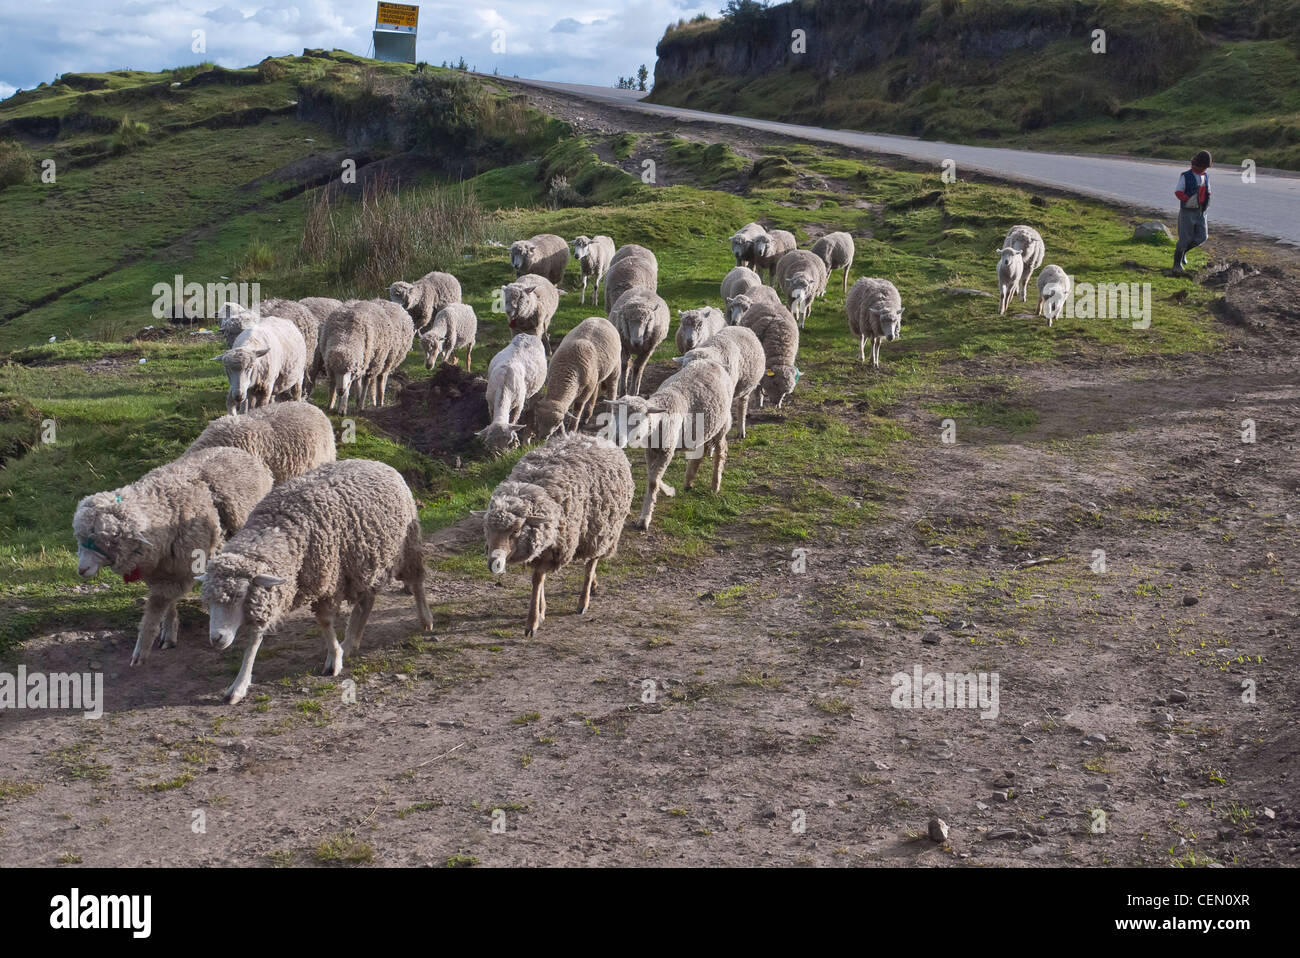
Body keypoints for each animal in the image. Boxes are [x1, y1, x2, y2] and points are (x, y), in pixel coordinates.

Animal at [74, 446, 274, 668]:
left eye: (110, 538)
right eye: (79, 538)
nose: (81, 570)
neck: (164, 509)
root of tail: (237, 450)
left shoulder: (180, 570)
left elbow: (156, 607)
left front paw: (141, 648)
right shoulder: (161, 572)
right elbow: (167, 603)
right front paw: (168, 632)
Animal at [199, 458, 433, 704]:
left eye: (239, 596)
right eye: (208, 602)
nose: (216, 638)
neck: (280, 526)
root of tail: (376, 462)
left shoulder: (329, 581)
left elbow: (325, 621)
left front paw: (334, 659)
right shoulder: (271, 594)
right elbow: (254, 641)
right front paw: (239, 685)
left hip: (406, 548)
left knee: (416, 582)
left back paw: (425, 620)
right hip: (365, 564)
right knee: (366, 602)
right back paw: (351, 641)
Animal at [477, 433, 634, 637]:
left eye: (516, 530)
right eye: (487, 529)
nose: (493, 562)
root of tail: (596, 438)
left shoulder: (553, 549)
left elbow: (537, 580)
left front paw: (532, 622)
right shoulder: (542, 549)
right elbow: (539, 579)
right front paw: (541, 611)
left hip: (601, 529)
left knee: (591, 563)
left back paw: (583, 601)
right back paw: (593, 585)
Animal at [604, 356, 734, 531]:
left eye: (637, 421)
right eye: (615, 416)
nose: (616, 439)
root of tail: (709, 361)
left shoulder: (666, 450)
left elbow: (653, 482)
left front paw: (645, 519)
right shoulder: (651, 449)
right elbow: (652, 475)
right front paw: (668, 491)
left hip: (721, 425)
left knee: (721, 451)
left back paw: (715, 485)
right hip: (704, 427)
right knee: (702, 450)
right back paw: (688, 481)